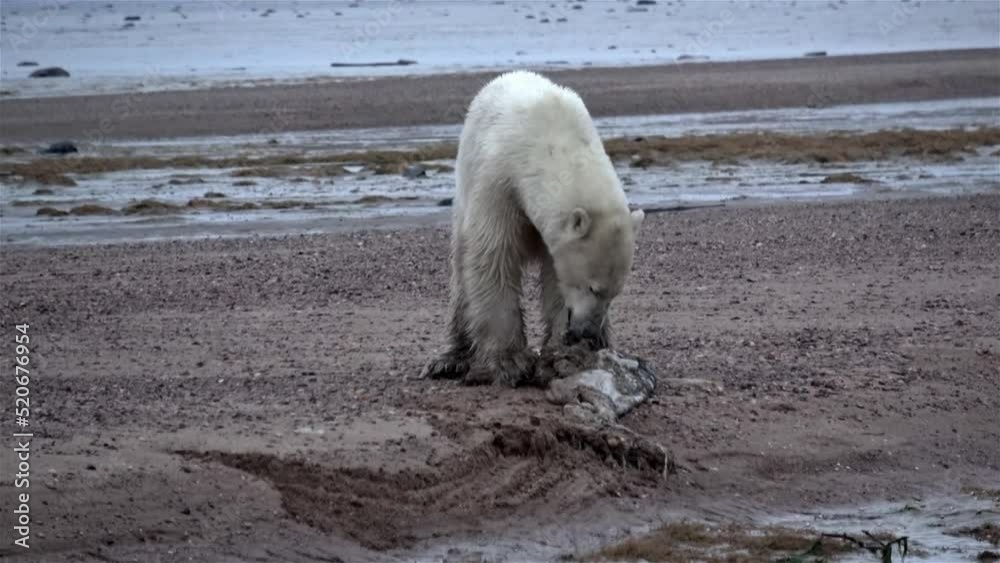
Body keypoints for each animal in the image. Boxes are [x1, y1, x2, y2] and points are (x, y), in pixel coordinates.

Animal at [420, 70, 645, 386]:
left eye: (615, 293)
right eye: (592, 286)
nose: (586, 331)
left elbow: (555, 277)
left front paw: (560, 355)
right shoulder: (500, 182)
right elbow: (493, 257)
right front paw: (509, 362)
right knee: (462, 274)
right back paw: (450, 360)